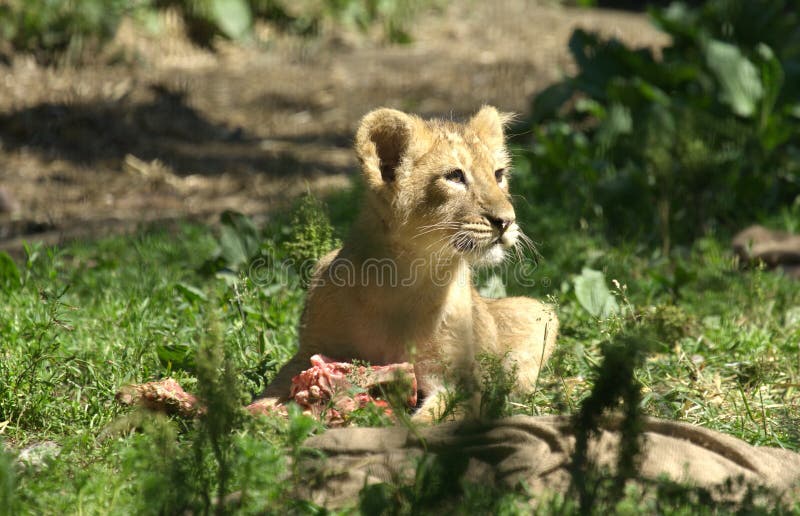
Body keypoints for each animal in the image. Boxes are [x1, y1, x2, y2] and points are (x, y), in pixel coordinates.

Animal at [259, 106, 558, 422]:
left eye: (498, 175)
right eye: (455, 176)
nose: (506, 221)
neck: (405, 280)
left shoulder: (460, 381)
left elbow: (429, 422)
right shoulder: (309, 351)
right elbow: (272, 389)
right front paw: (254, 420)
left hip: (536, 313)